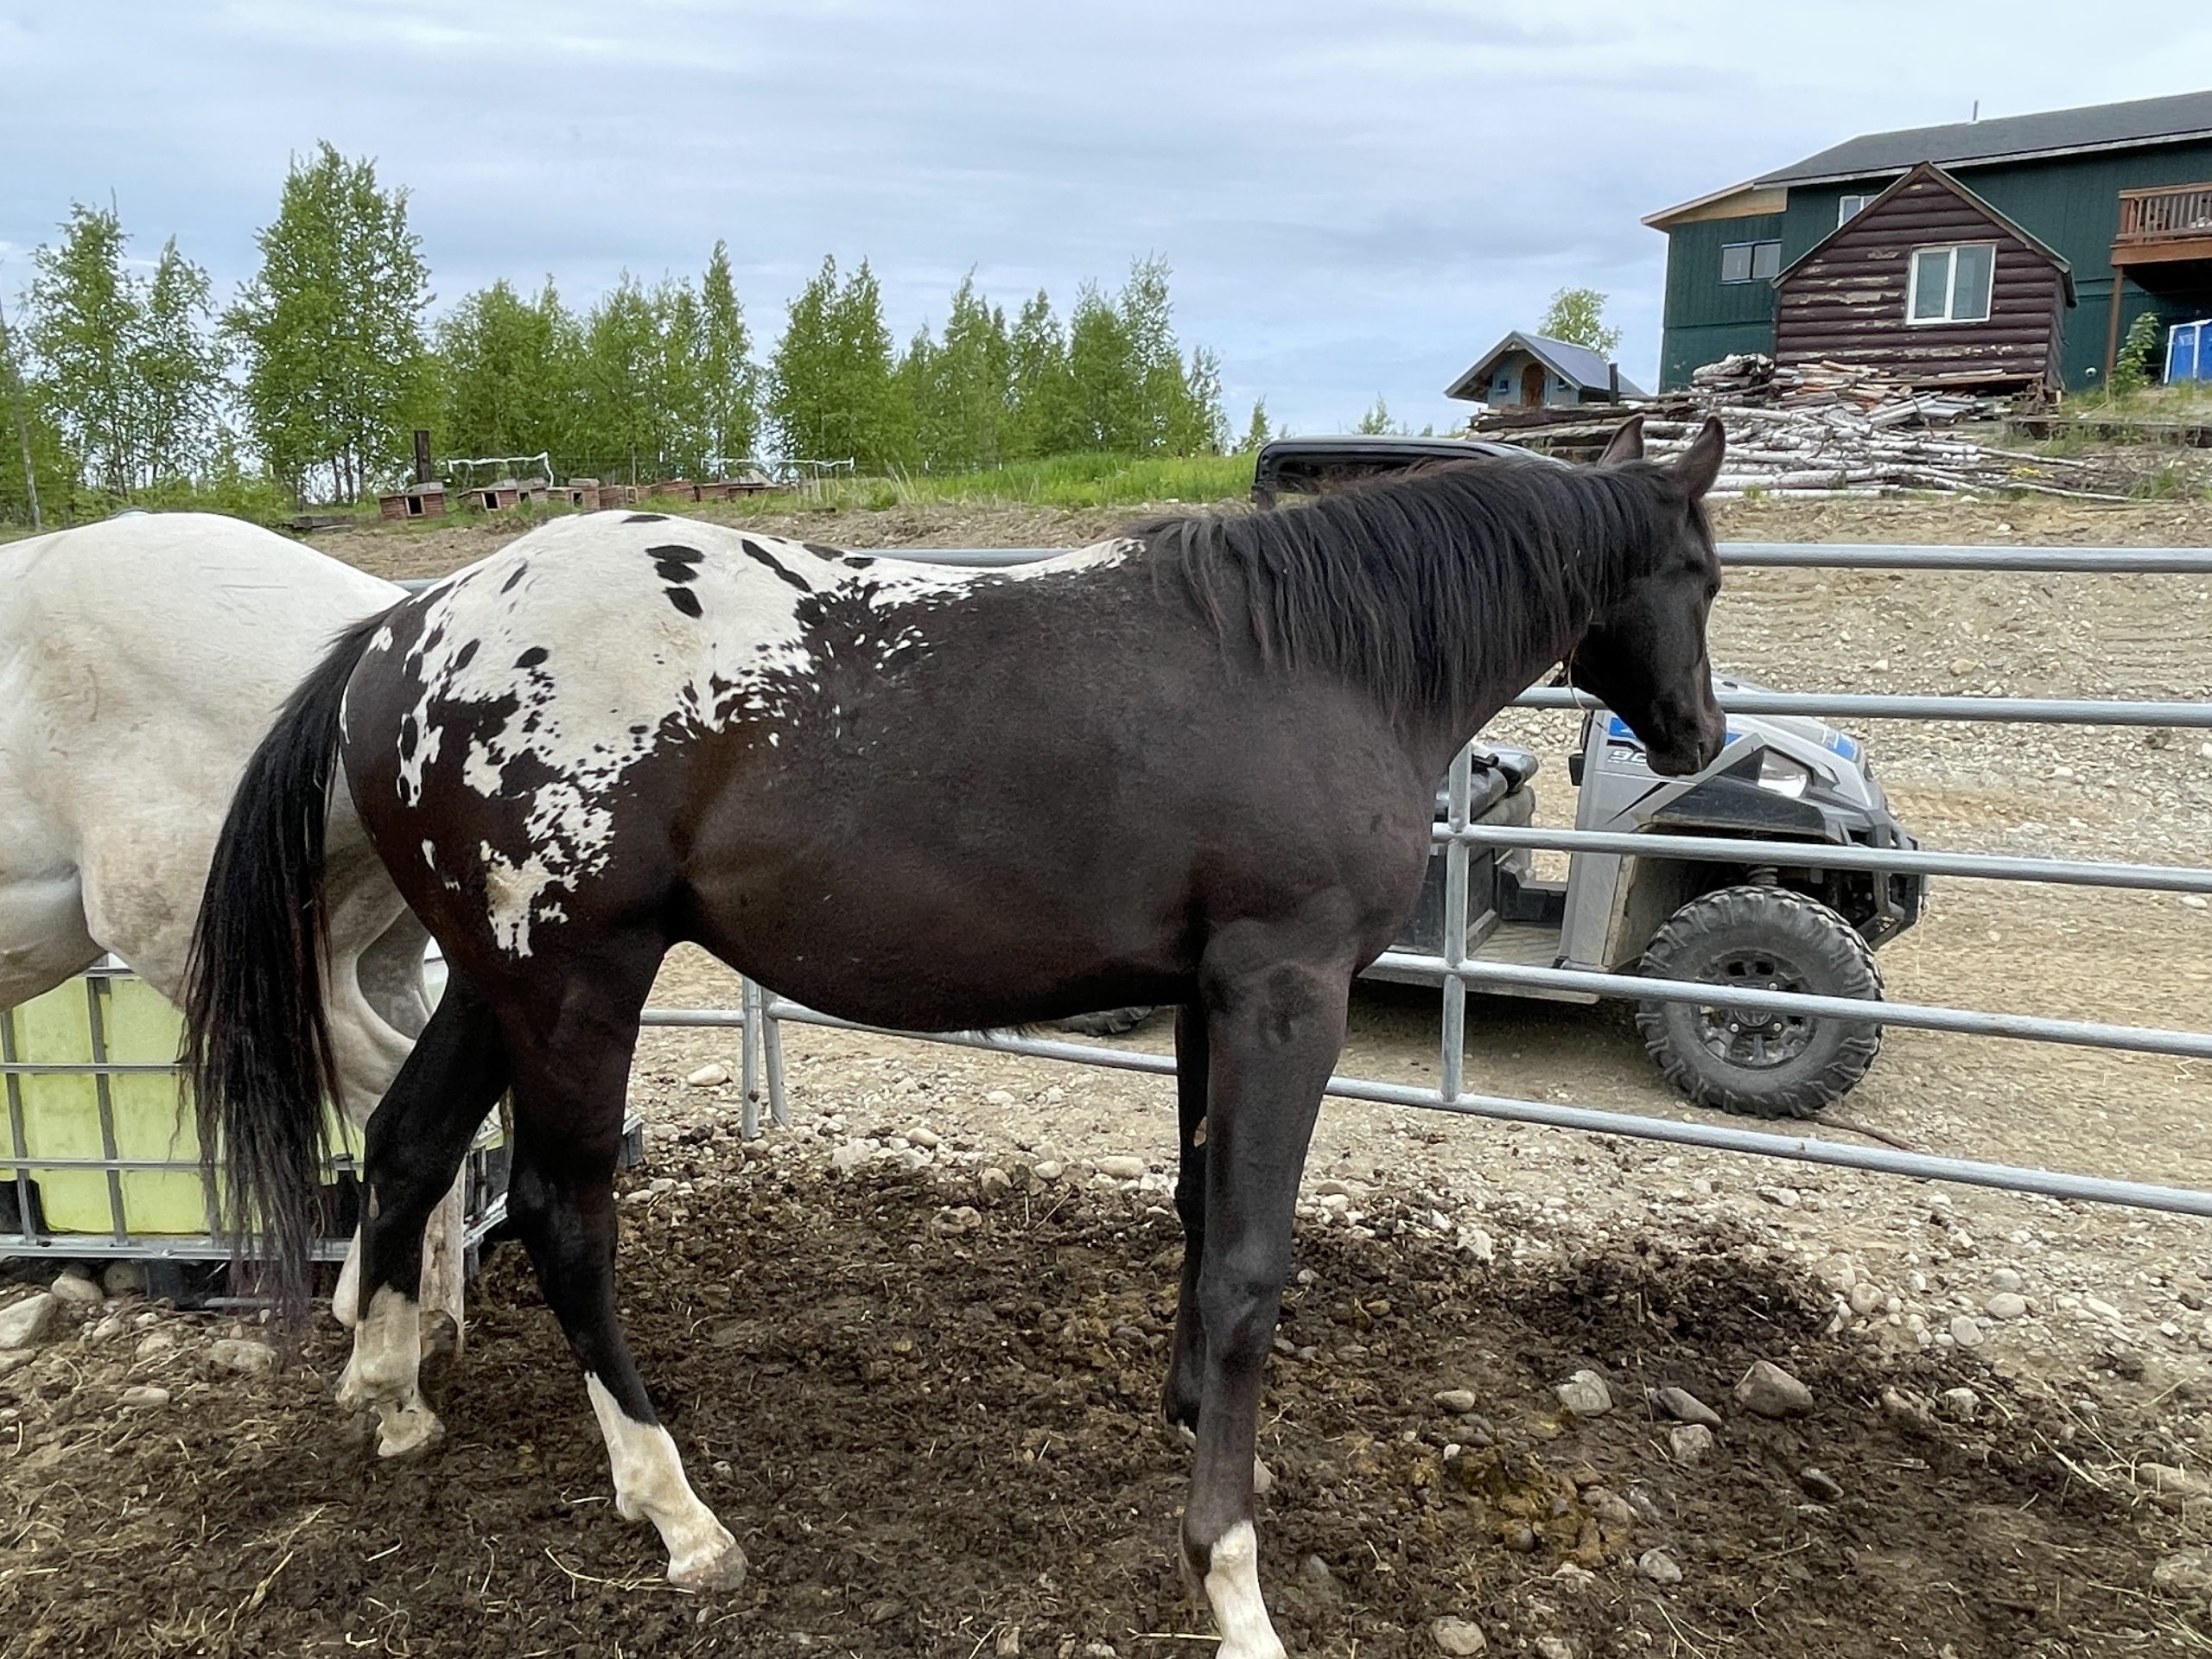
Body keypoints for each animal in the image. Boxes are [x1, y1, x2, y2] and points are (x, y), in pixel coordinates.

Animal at [185, 415, 1727, 1657]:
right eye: (1703, 576)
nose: (1702, 738)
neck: (1314, 669)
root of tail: (408, 630)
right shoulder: (1288, 993)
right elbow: (1247, 1267)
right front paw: (1230, 1579)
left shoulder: (1209, 996)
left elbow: (1194, 1209)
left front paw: (1190, 1424)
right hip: (574, 988)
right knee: (565, 1219)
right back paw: (674, 1508)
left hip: (496, 980)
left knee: (408, 1144)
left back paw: (390, 1394)